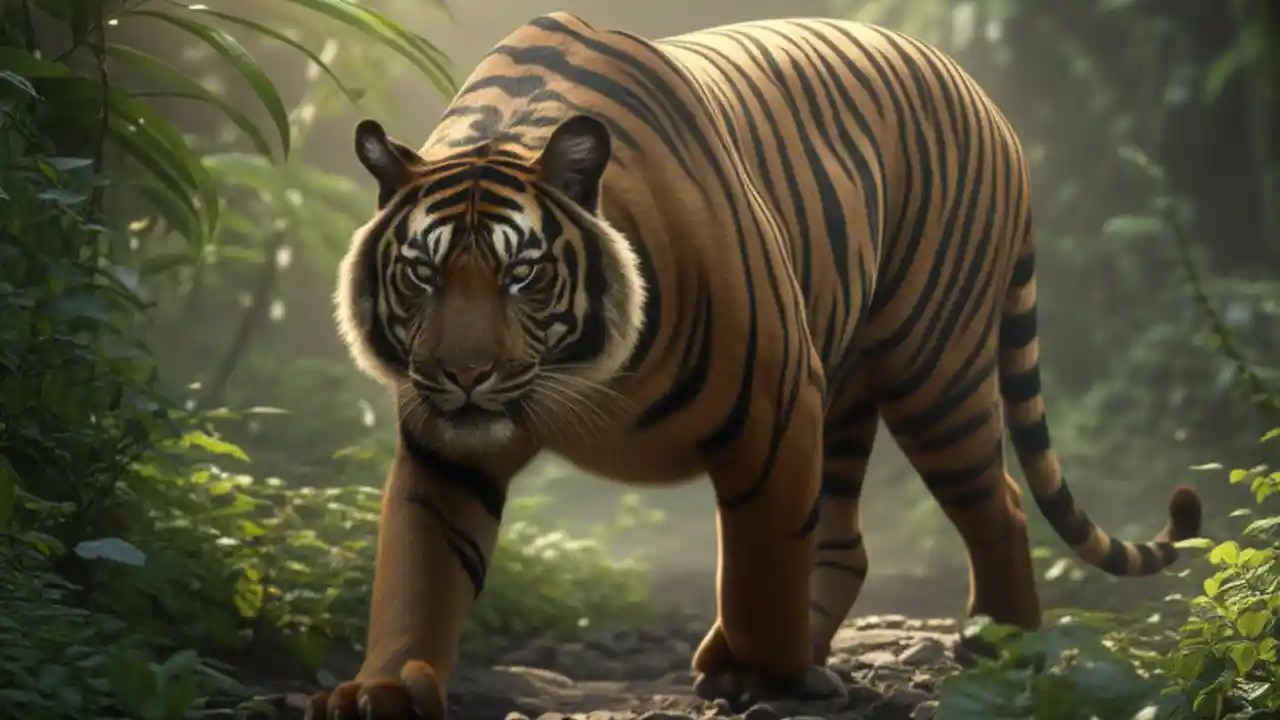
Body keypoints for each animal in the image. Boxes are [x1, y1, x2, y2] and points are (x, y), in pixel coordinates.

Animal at [311, 12, 1203, 719]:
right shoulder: (443, 449)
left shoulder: (773, 415)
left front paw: (756, 672)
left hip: (930, 373)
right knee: (848, 540)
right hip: (846, 387)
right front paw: (382, 689)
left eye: (521, 273)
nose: (462, 376)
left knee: (1000, 506)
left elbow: (760, 566)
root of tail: (987, 100)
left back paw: (999, 652)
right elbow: (420, 571)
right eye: (421, 274)